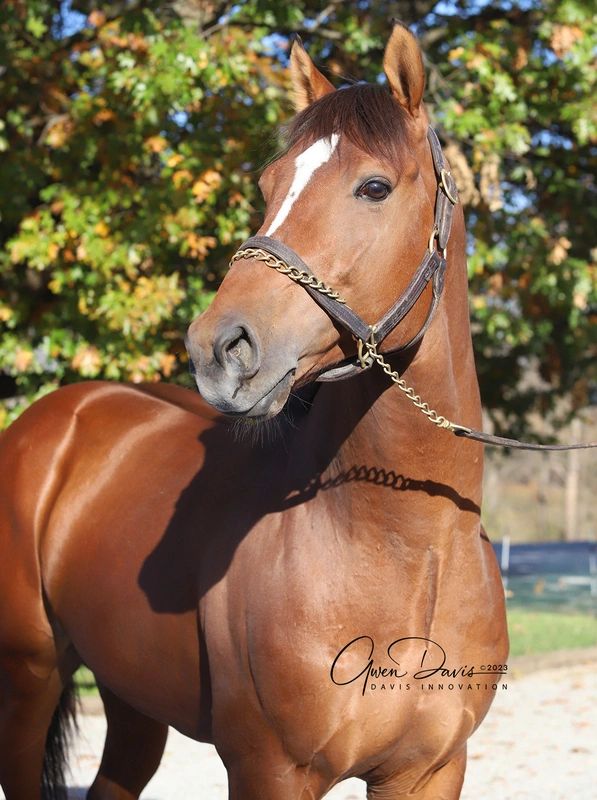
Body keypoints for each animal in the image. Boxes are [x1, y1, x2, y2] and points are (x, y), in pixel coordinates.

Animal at [0, 22, 508, 800]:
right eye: (269, 185)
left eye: (374, 187)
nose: (219, 348)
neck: (409, 552)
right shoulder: (270, 770)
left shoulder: (429, 771)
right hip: (29, 677)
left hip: (130, 695)